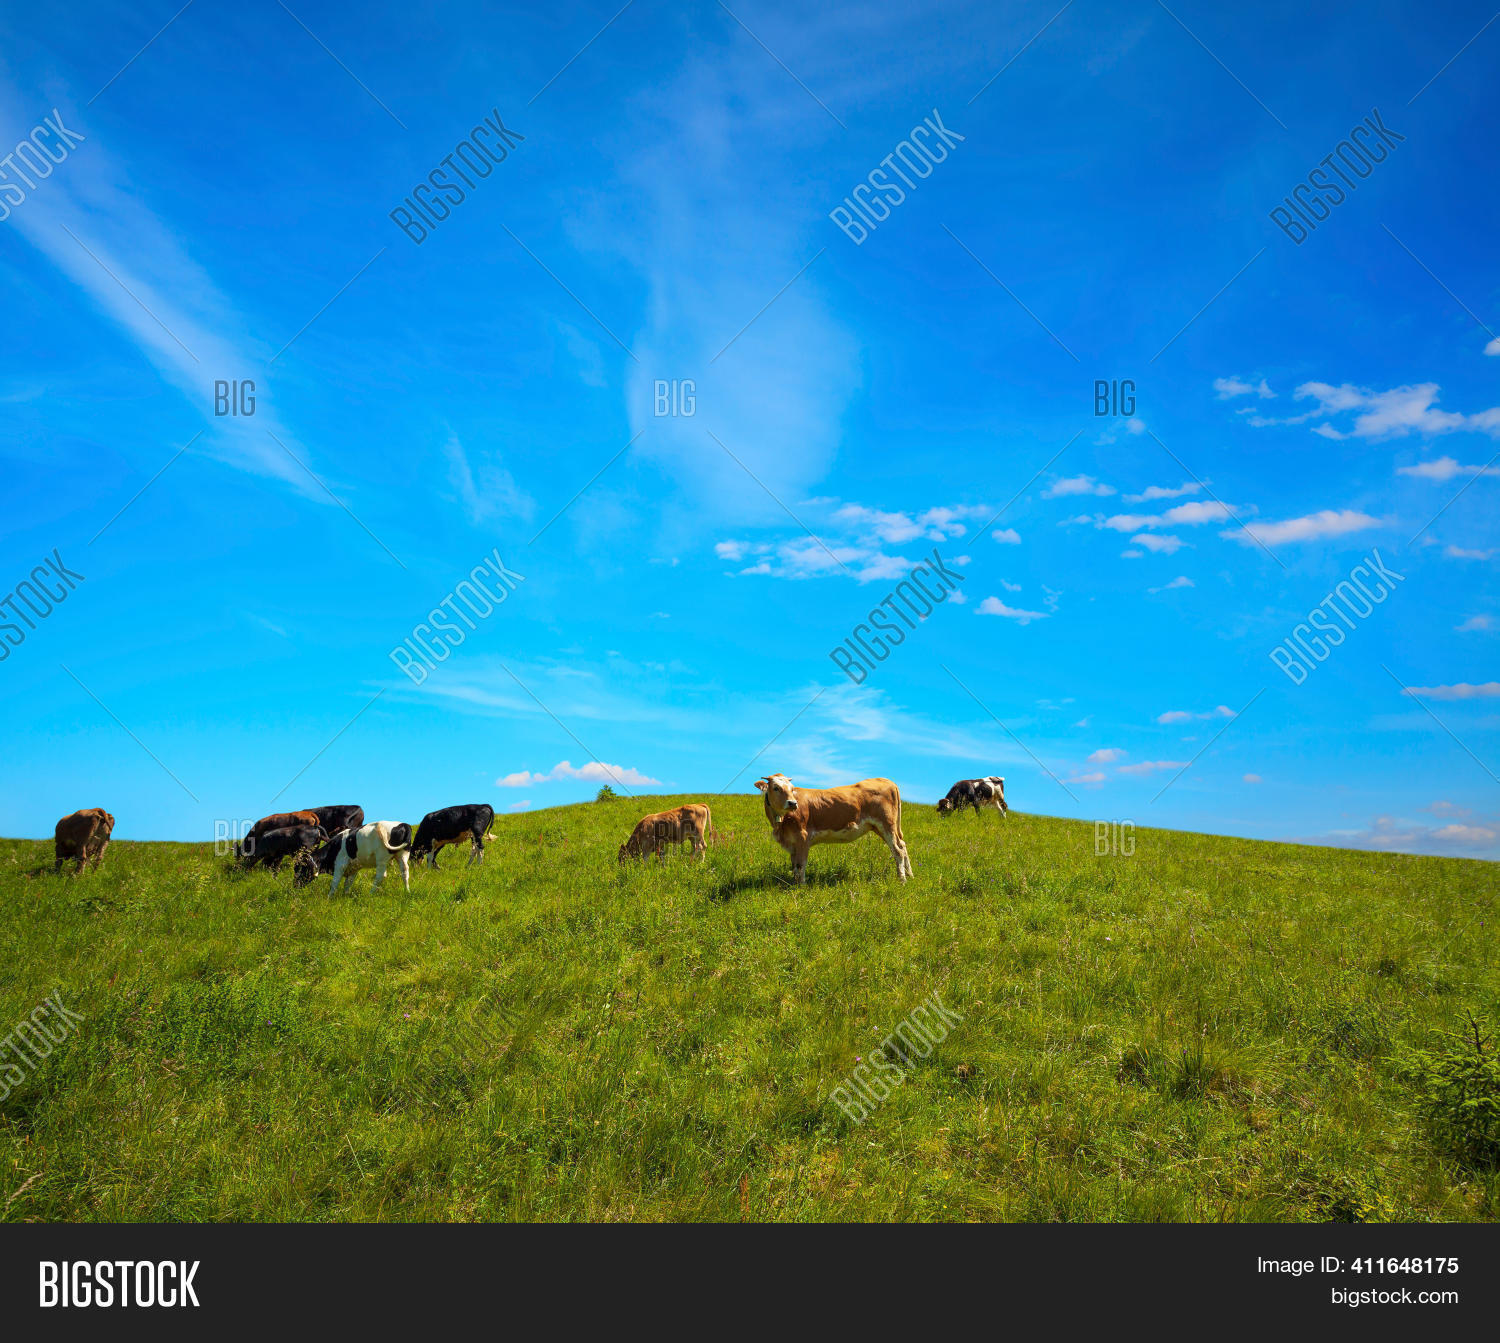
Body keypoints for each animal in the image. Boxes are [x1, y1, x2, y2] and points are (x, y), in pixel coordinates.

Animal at [754, 774, 911, 884]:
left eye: (792, 789)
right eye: (776, 788)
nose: (793, 803)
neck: (781, 825)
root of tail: (887, 781)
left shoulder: (803, 837)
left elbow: (801, 864)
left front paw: (801, 886)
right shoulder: (792, 842)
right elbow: (794, 865)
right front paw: (794, 883)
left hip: (887, 824)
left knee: (897, 851)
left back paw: (902, 880)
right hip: (881, 827)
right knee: (902, 846)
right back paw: (910, 875)